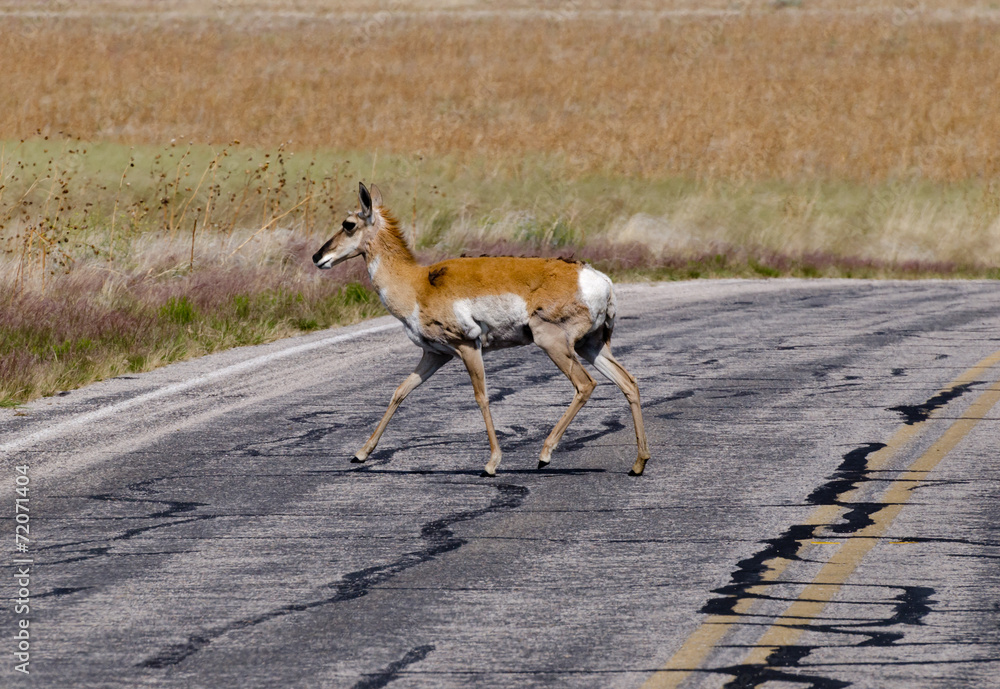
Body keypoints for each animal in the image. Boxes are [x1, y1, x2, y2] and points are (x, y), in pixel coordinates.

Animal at [313, 182, 650, 477]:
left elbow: (481, 396)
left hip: (553, 342)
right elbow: (400, 391)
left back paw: (544, 455)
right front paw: (360, 453)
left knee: (585, 384)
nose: (317, 257)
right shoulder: (435, 355)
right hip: (591, 346)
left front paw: (491, 463)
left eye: (348, 224)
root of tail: (599, 279)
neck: (417, 283)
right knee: (628, 382)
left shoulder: (467, 347)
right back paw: (638, 464)